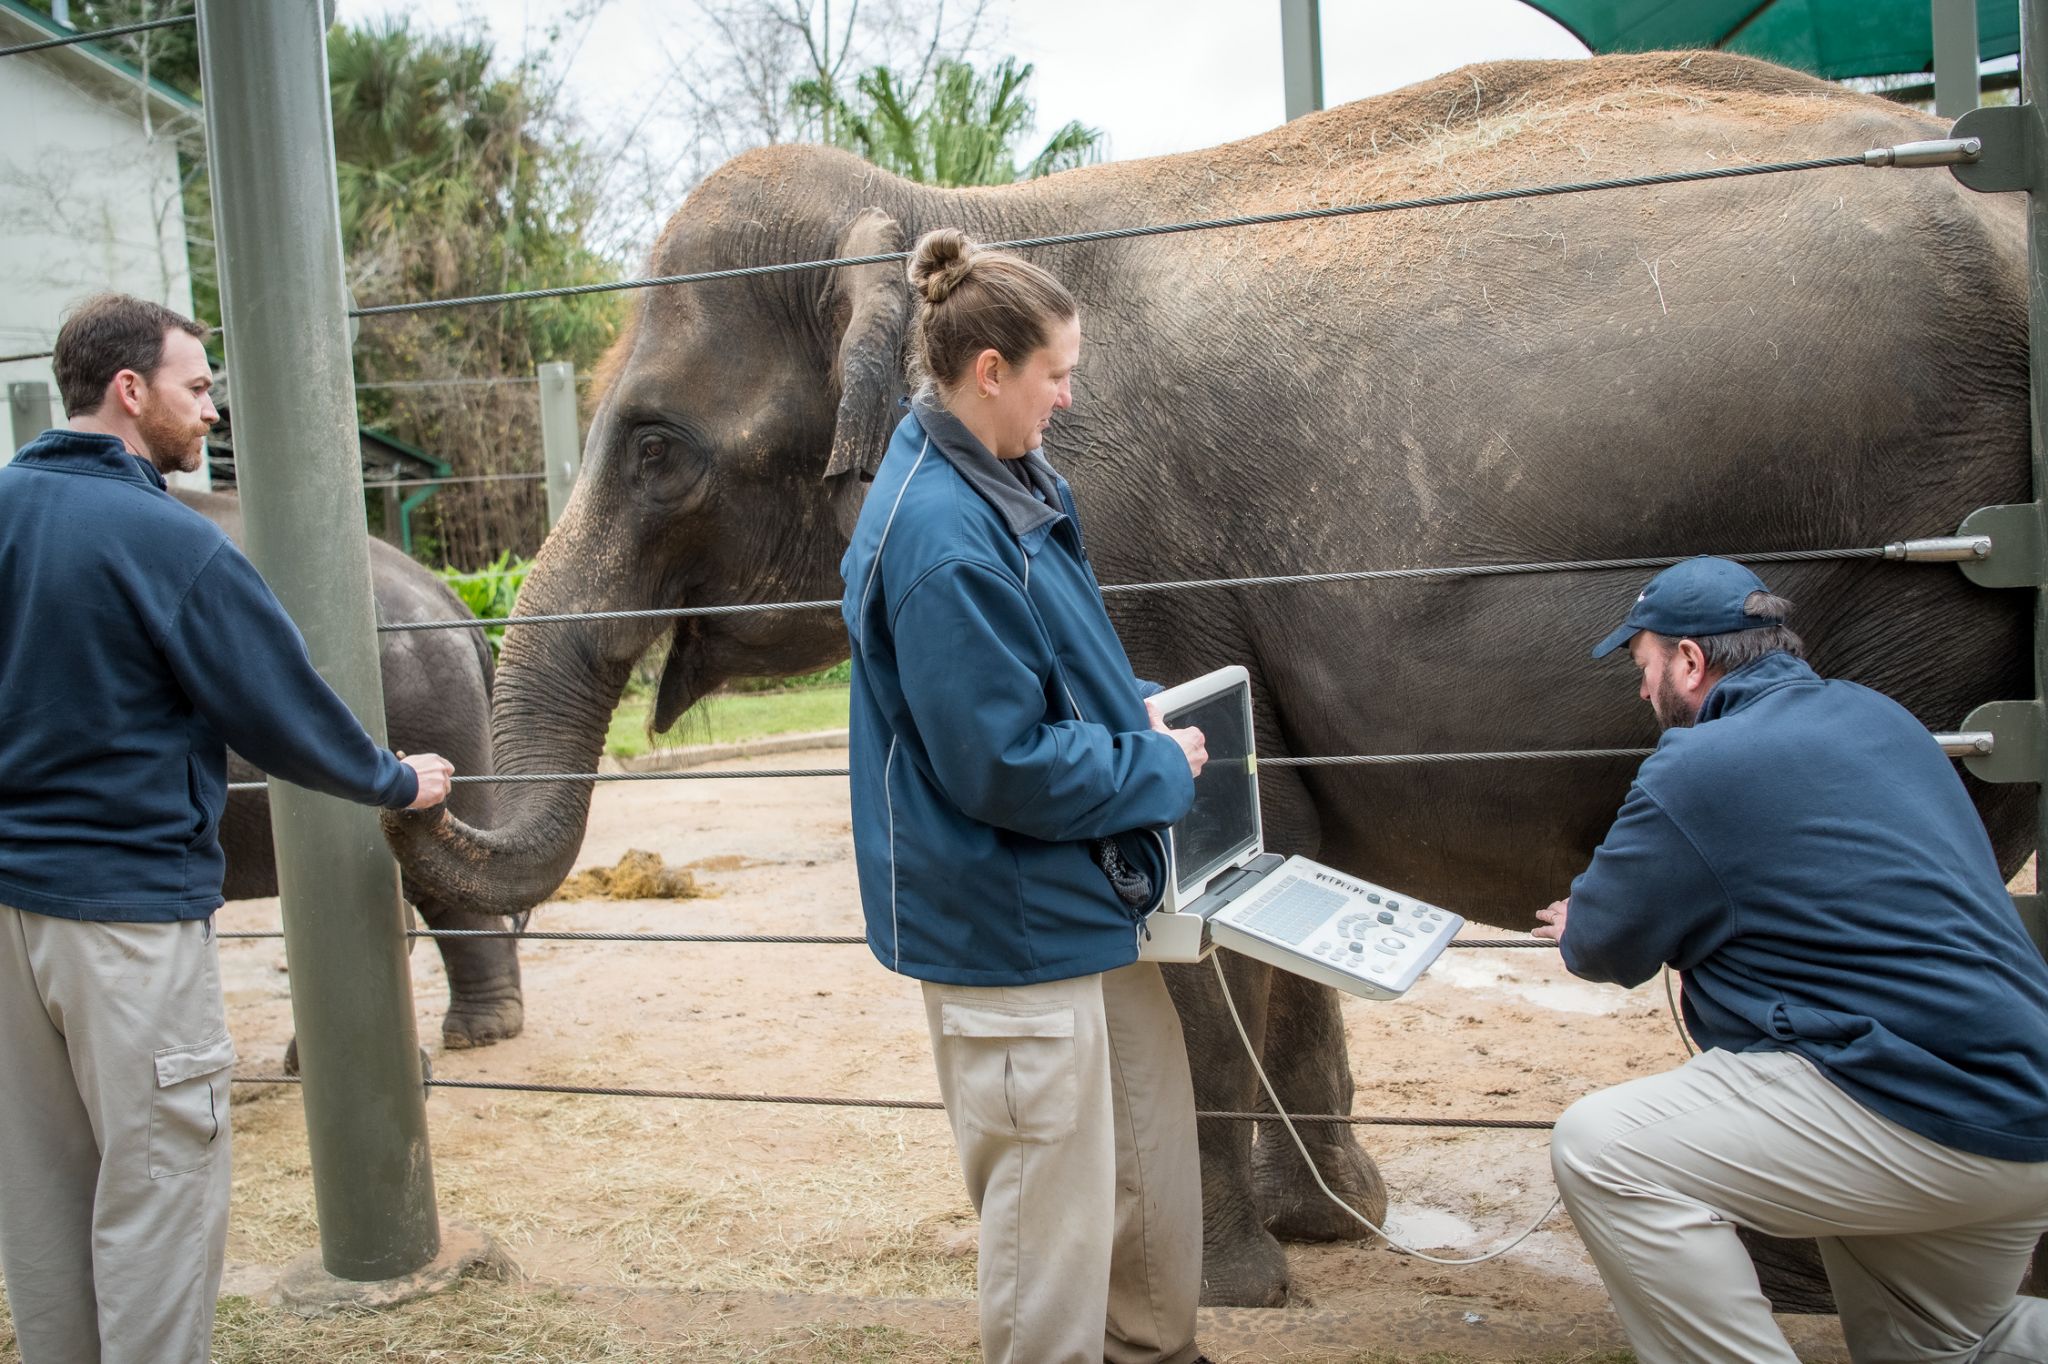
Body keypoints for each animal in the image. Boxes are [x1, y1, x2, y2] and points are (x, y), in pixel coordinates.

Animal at [385, 50, 2035, 1308]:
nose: (417, 771)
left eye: (657, 444)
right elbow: (1270, 857)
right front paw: (1337, 1229)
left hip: (1899, 584)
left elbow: (1191, 896)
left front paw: (1235, 1290)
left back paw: (1810, 1277)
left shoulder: (1129, 558)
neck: (943, 216)